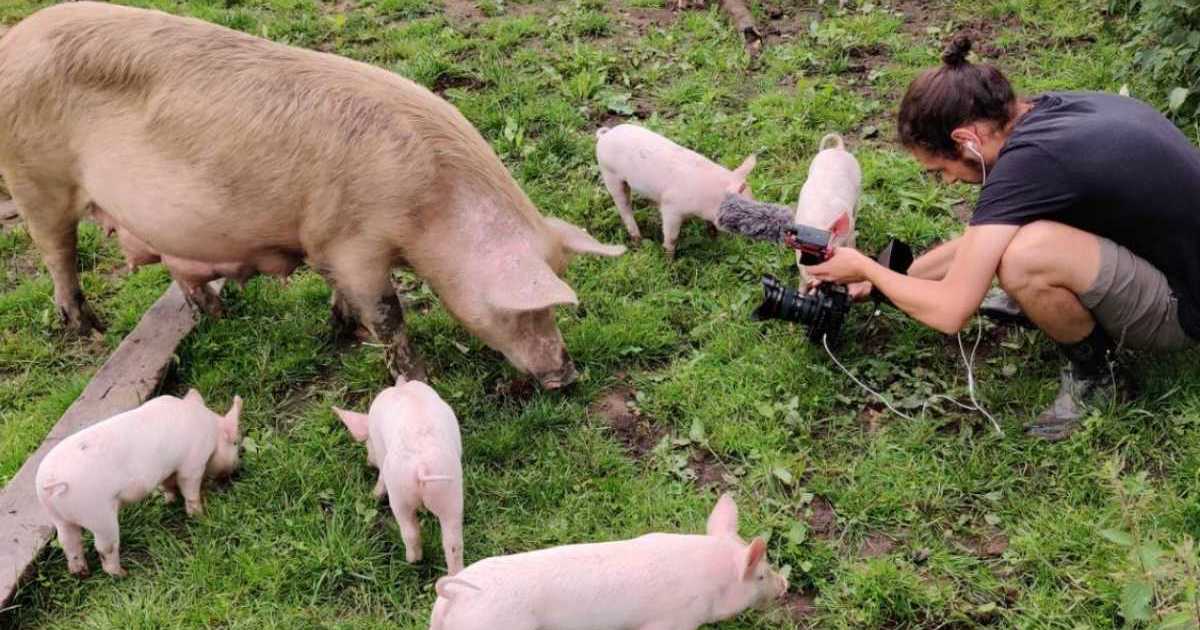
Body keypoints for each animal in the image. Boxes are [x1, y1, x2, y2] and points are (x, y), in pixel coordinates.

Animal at [0, 3, 624, 388]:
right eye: (530, 309)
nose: (568, 374)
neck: (432, 206)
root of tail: (14, 38)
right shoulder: (355, 241)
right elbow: (388, 311)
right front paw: (415, 376)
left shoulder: (327, 243)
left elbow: (341, 292)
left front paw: (338, 330)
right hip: (36, 178)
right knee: (58, 256)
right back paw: (90, 328)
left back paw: (223, 314)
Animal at [35, 390, 242, 577]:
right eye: (235, 443)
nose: (236, 470)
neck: (210, 428)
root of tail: (51, 481)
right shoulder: (193, 462)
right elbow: (190, 489)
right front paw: (199, 516)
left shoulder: (166, 470)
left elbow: (168, 485)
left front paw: (170, 501)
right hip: (97, 513)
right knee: (104, 547)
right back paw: (122, 574)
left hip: (58, 517)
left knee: (68, 541)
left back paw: (81, 573)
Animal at [335, 378, 464, 575]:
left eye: (367, 443)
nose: (367, 461)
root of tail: (421, 466)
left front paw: (373, 494)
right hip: (449, 489)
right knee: (453, 541)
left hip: (399, 492)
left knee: (410, 531)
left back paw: (411, 560)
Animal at [595, 123, 757, 259]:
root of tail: (606, 135)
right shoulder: (671, 208)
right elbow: (671, 238)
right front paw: (669, 261)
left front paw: (715, 239)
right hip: (609, 174)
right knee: (624, 207)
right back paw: (638, 241)